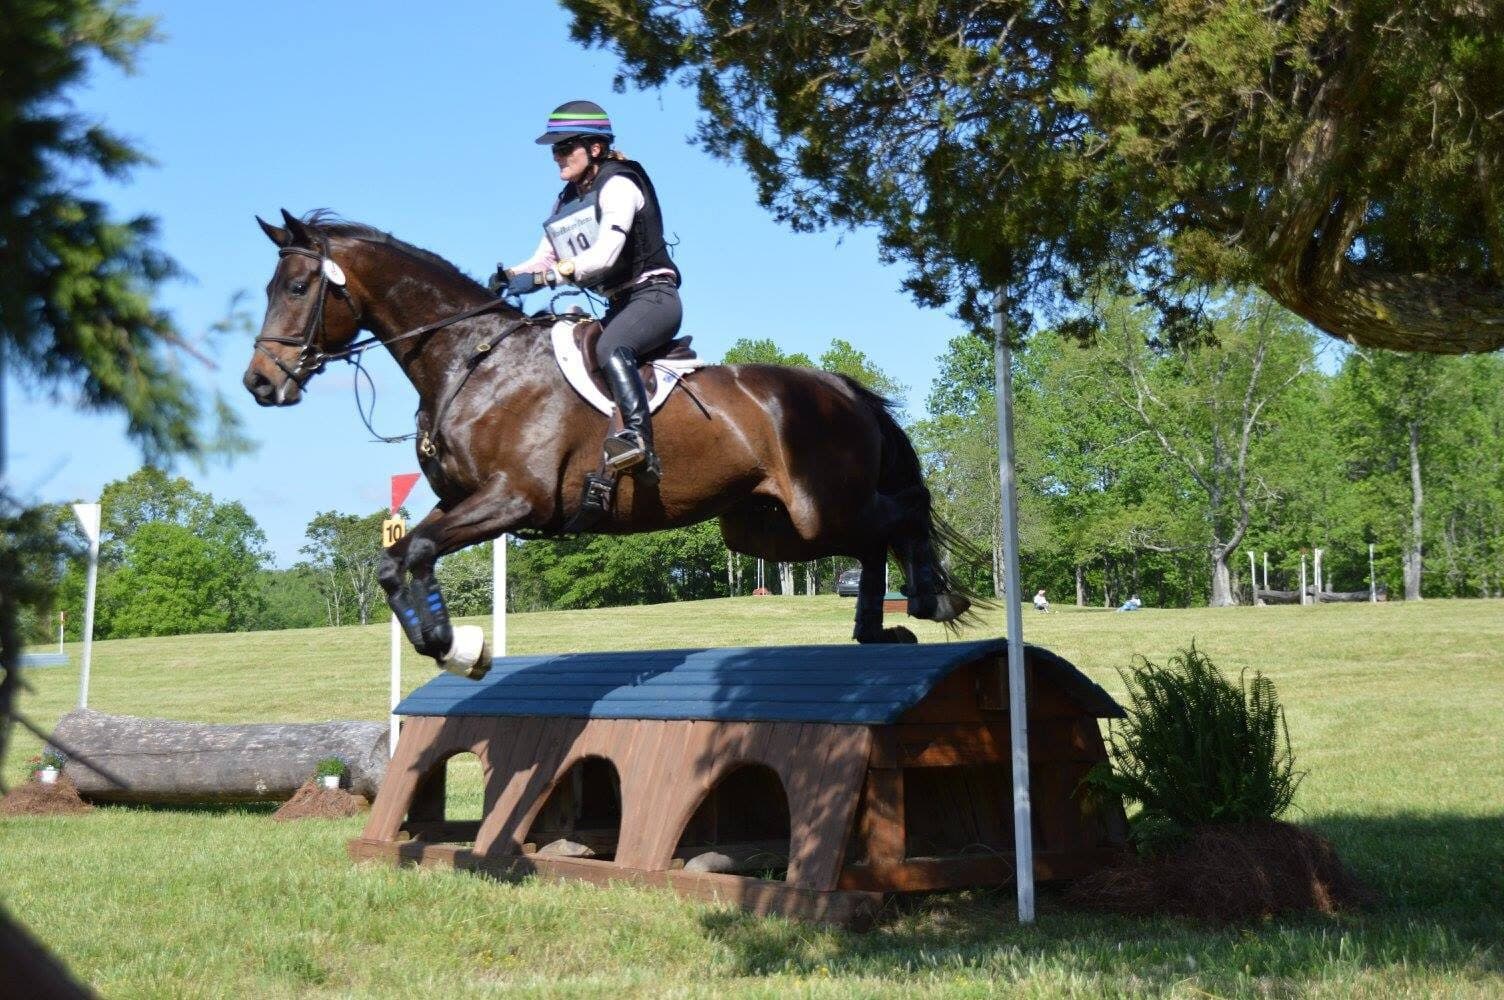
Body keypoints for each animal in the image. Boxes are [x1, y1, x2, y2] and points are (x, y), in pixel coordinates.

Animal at [243, 210, 980, 678]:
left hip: (817, 507)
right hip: (766, 528)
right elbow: (396, 562)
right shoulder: (465, 501)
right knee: (869, 540)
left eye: (299, 287)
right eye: (271, 286)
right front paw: (458, 648)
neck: (471, 362)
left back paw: (926, 601)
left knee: (902, 514)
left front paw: (454, 644)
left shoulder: (514, 499)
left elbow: (416, 553)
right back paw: (875, 629)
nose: (260, 381)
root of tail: (841, 386)